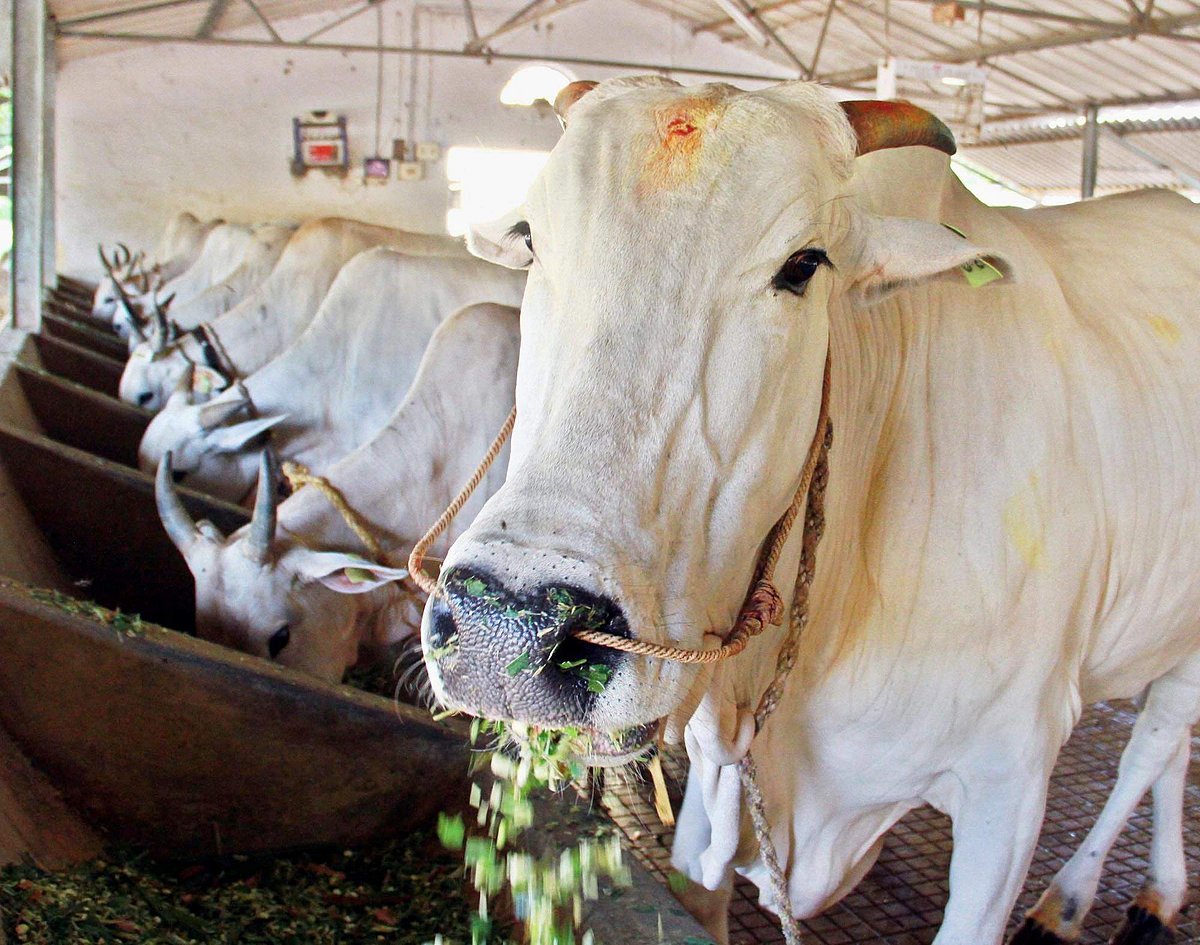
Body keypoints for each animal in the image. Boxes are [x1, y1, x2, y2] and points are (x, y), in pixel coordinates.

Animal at [417, 76, 1200, 945]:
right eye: (531, 238)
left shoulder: (1010, 781)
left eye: (801, 266)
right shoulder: (718, 785)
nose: (506, 628)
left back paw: (1079, 898)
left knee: (1155, 739)